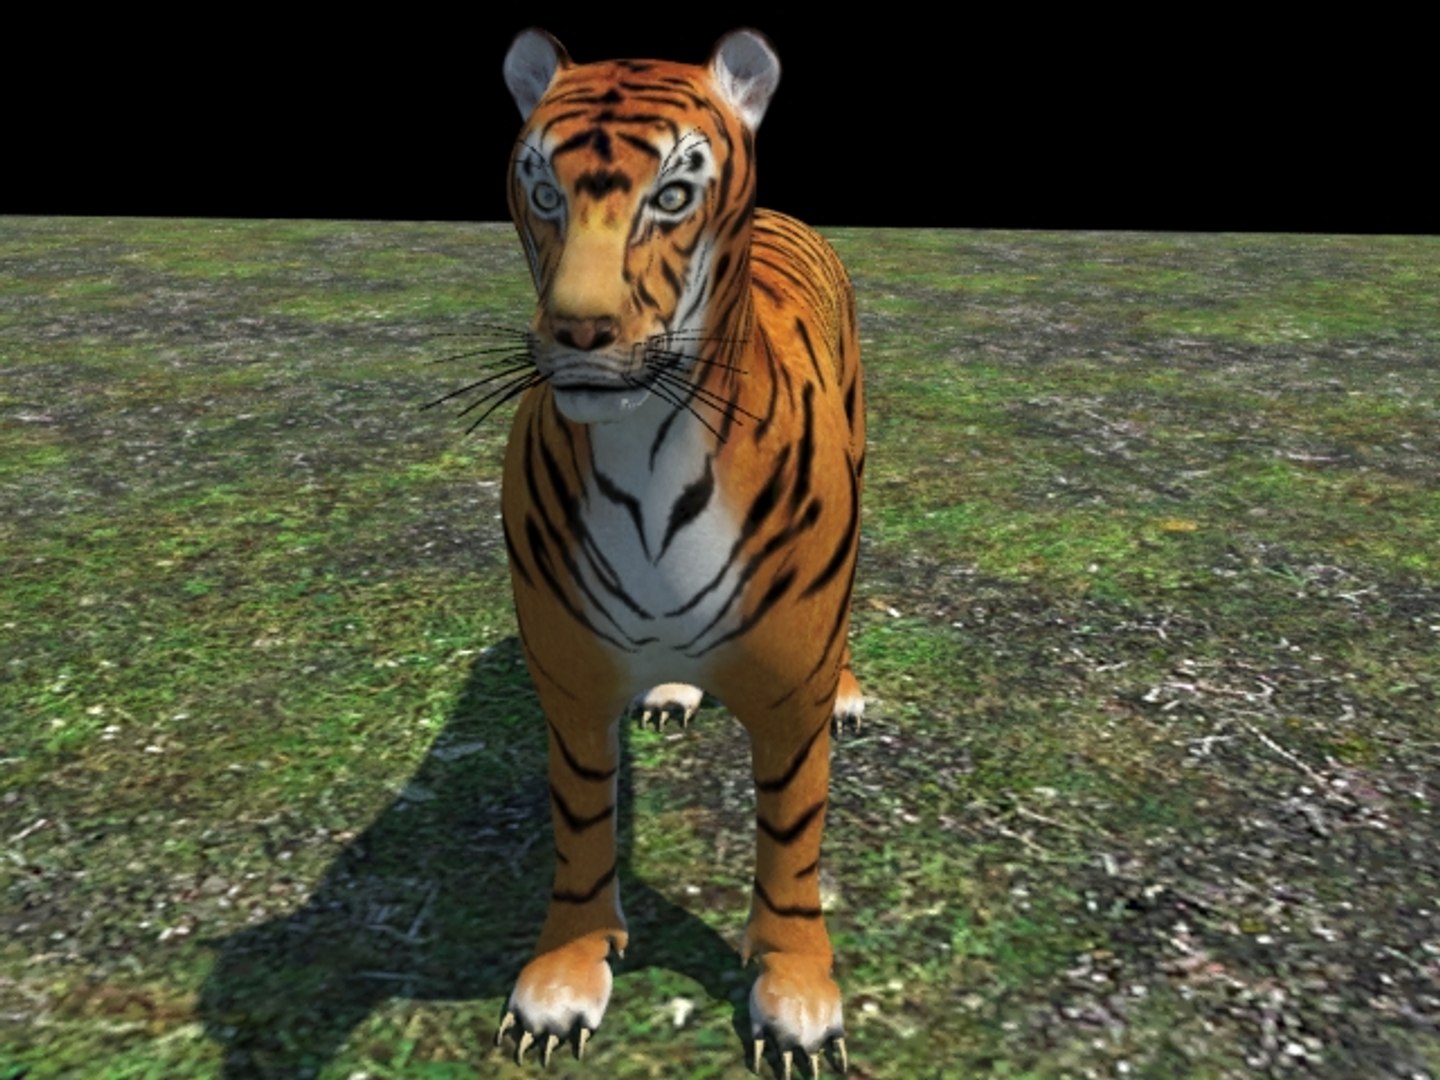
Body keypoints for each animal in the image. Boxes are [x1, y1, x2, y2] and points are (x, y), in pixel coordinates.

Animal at [491, 27, 865, 1079]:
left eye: (671, 196)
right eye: (544, 192)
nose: (578, 332)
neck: (644, 448)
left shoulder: (790, 703)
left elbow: (791, 845)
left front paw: (796, 997)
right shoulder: (571, 684)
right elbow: (581, 827)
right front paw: (562, 980)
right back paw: (667, 691)